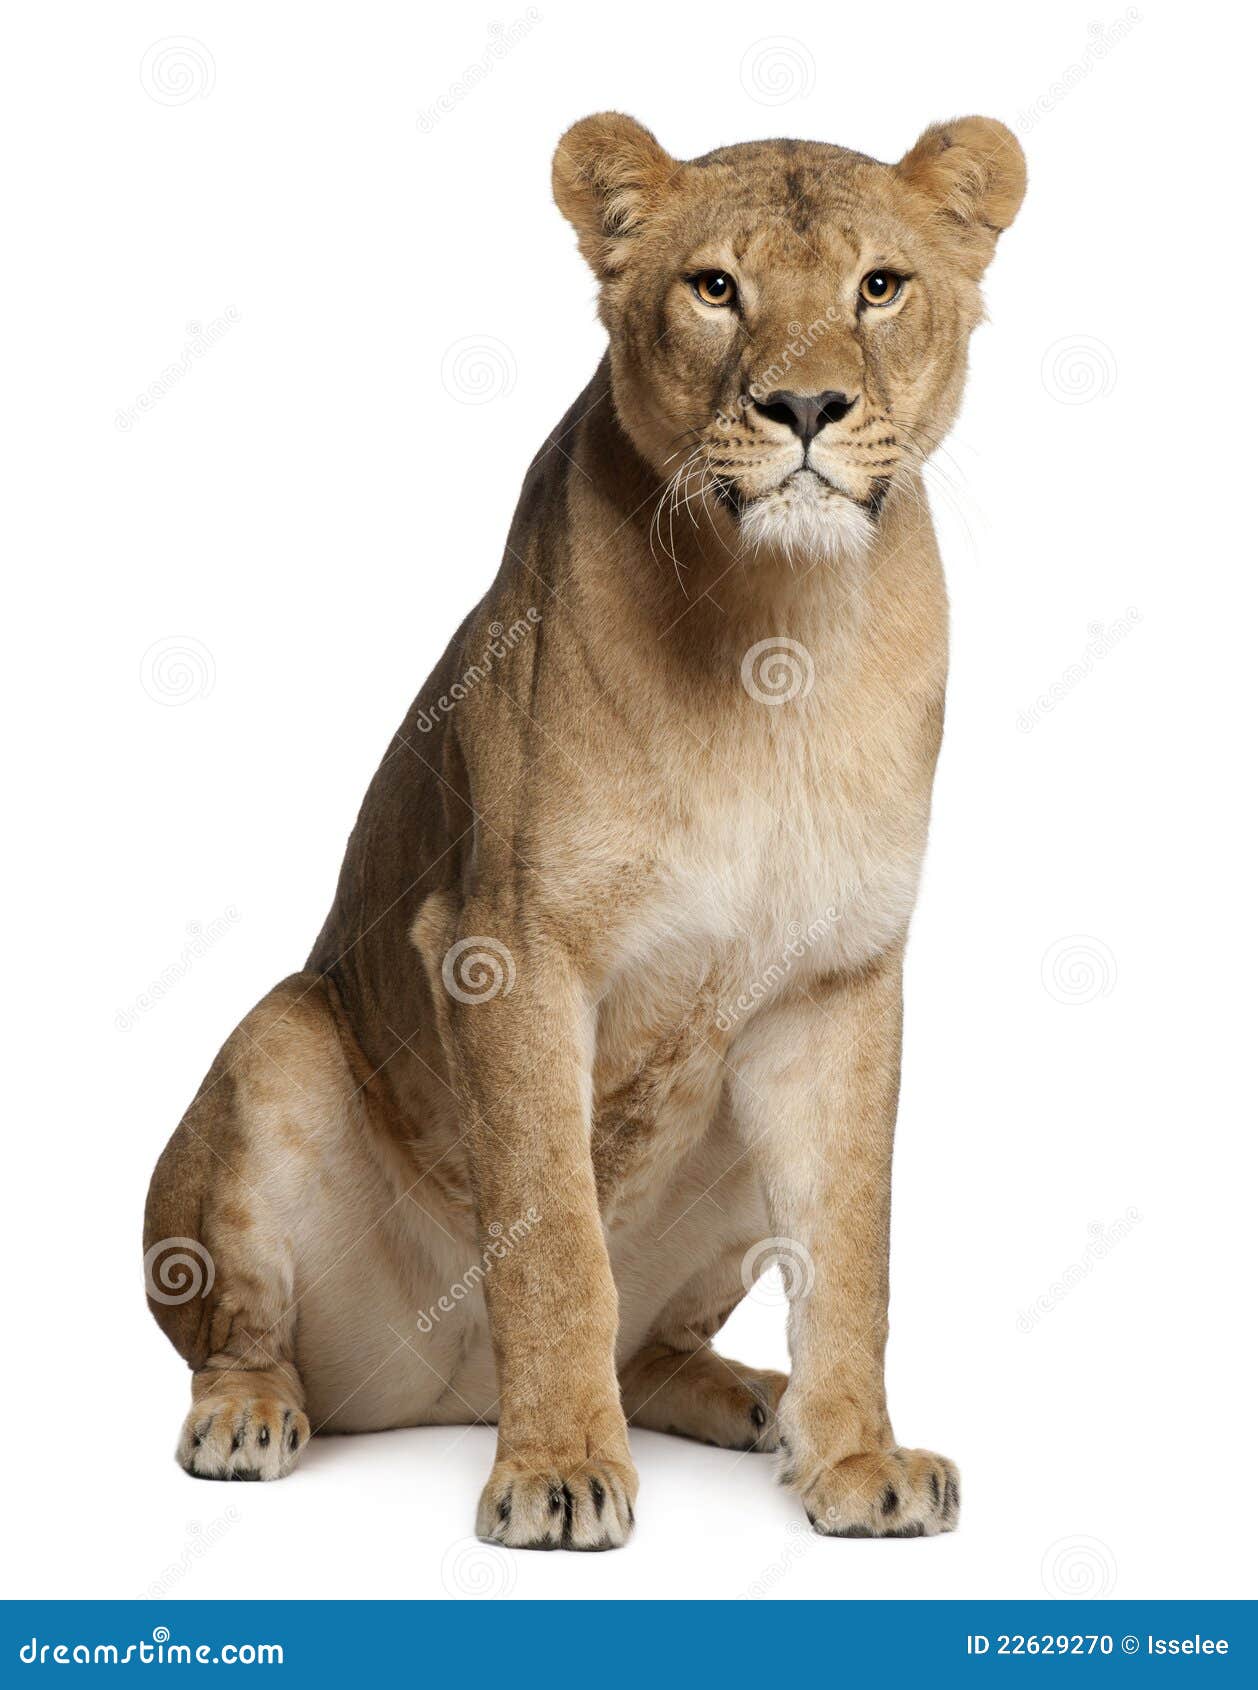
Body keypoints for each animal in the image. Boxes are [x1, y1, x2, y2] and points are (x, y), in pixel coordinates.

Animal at [144, 112, 1024, 1549]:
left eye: (879, 287)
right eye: (715, 288)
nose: (803, 408)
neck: (774, 634)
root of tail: (446, 1396)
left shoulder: (839, 983)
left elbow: (852, 1247)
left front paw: (856, 1457)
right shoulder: (505, 944)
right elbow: (553, 1233)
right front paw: (557, 1467)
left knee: (658, 1342)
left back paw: (753, 1399)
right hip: (281, 1042)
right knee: (237, 1328)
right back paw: (248, 1416)